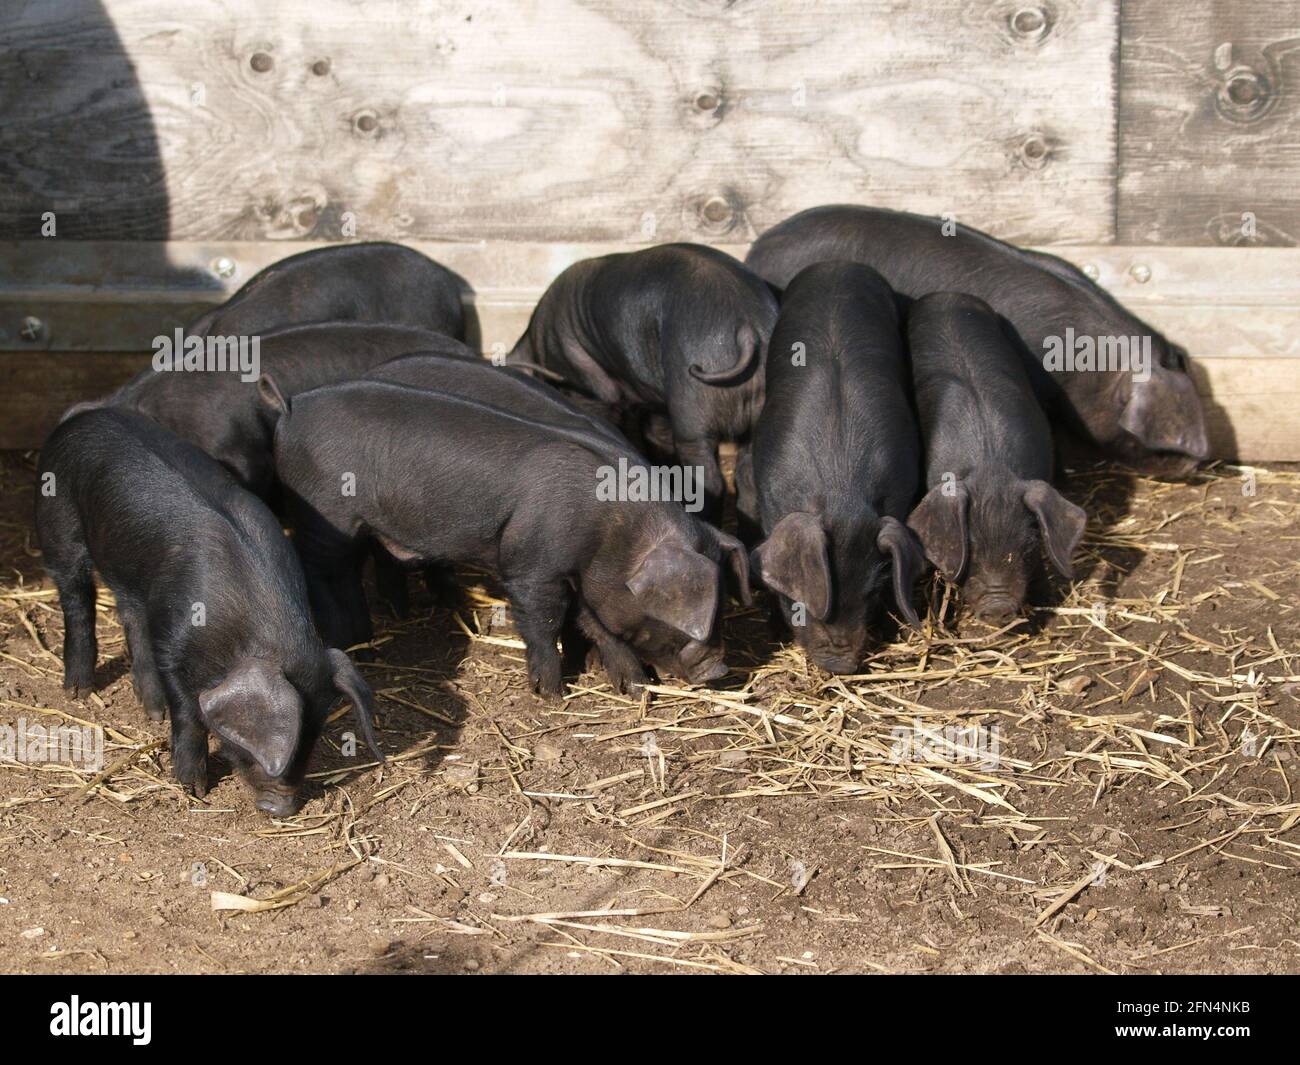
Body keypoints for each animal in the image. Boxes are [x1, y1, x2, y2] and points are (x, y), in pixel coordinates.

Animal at [34, 408, 382, 815]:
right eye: (254, 747)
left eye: (314, 735)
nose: (281, 809)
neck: (241, 630)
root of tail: (82, 417)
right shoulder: (173, 642)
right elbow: (189, 711)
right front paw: (193, 788)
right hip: (57, 521)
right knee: (75, 595)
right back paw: (78, 691)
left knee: (131, 617)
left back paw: (153, 711)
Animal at [264, 379, 751, 694]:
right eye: (683, 617)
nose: (718, 668)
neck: (614, 529)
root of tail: (289, 406)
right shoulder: (532, 564)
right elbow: (543, 621)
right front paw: (550, 694)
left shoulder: (590, 579)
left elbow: (602, 627)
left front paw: (638, 689)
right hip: (323, 513)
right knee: (321, 571)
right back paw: (352, 640)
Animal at [508, 243, 779, 517]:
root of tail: (746, 327)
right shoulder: (655, 404)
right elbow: (656, 436)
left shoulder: (586, 385)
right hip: (752, 413)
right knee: (747, 478)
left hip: (693, 406)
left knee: (709, 478)